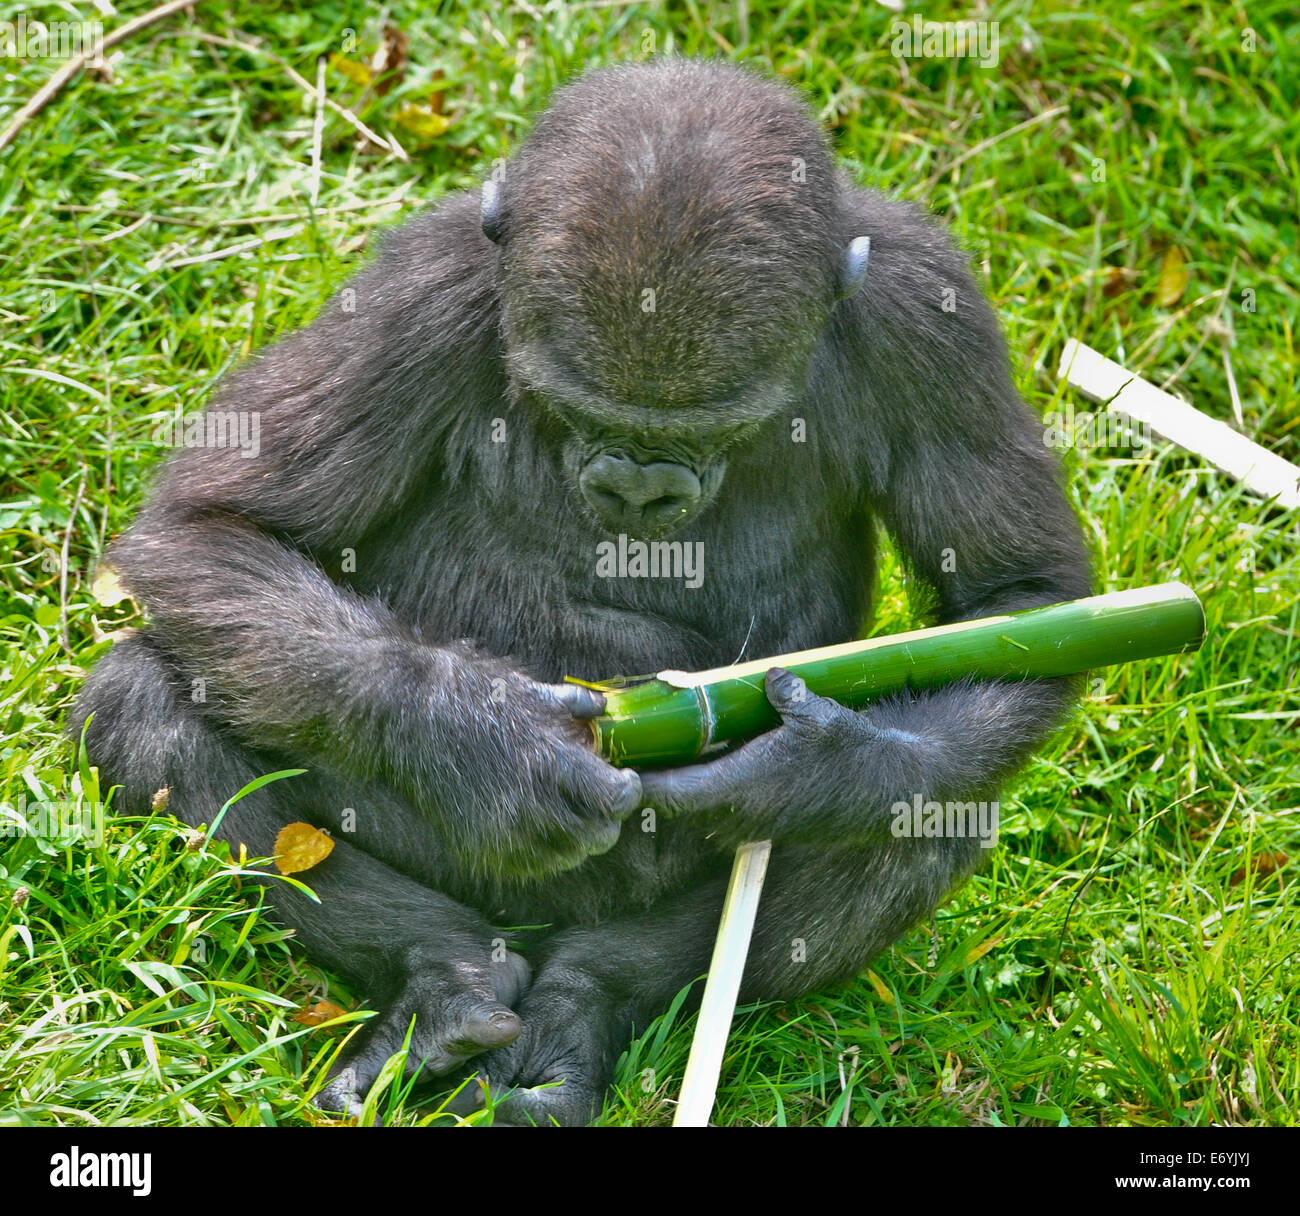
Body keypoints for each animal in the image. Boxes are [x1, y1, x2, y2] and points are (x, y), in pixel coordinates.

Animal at [71, 57, 1091, 1125]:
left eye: (716, 433)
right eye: (574, 412)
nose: (638, 488)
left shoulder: (929, 312)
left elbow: (1019, 601)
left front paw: (806, 770)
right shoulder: (420, 292)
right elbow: (219, 525)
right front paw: (485, 745)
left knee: (930, 802)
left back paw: (585, 1003)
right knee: (147, 703)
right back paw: (444, 980)